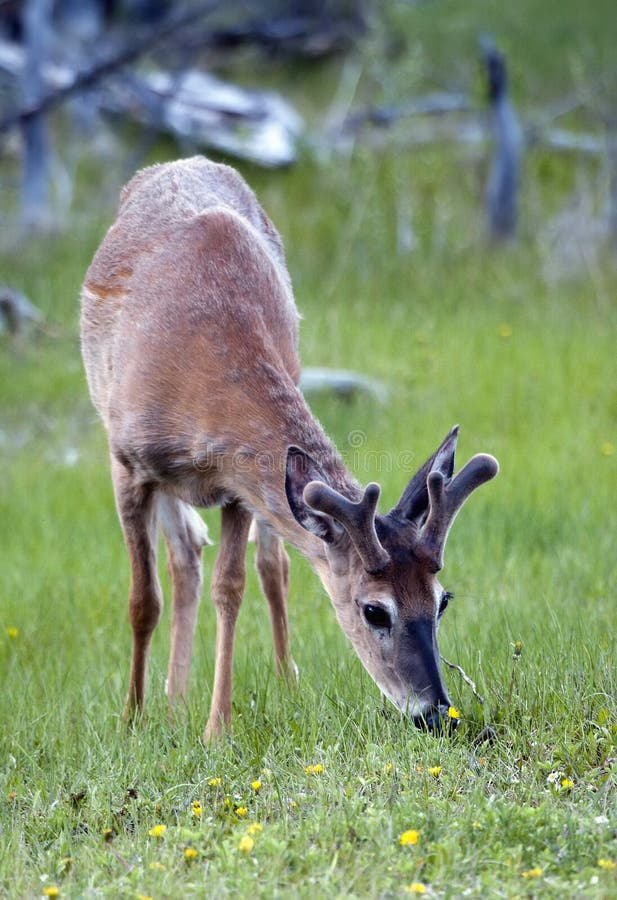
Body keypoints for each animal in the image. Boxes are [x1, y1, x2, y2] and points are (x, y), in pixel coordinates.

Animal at [80, 155, 498, 742]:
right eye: (374, 611)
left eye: (442, 601)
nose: (435, 712)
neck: (197, 382)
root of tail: (183, 161)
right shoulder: (127, 461)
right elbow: (142, 600)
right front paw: (131, 720)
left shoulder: (234, 482)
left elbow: (231, 590)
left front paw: (215, 728)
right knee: (184, 559)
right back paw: (167, 703)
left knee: (249, 564)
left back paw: (255, 688)